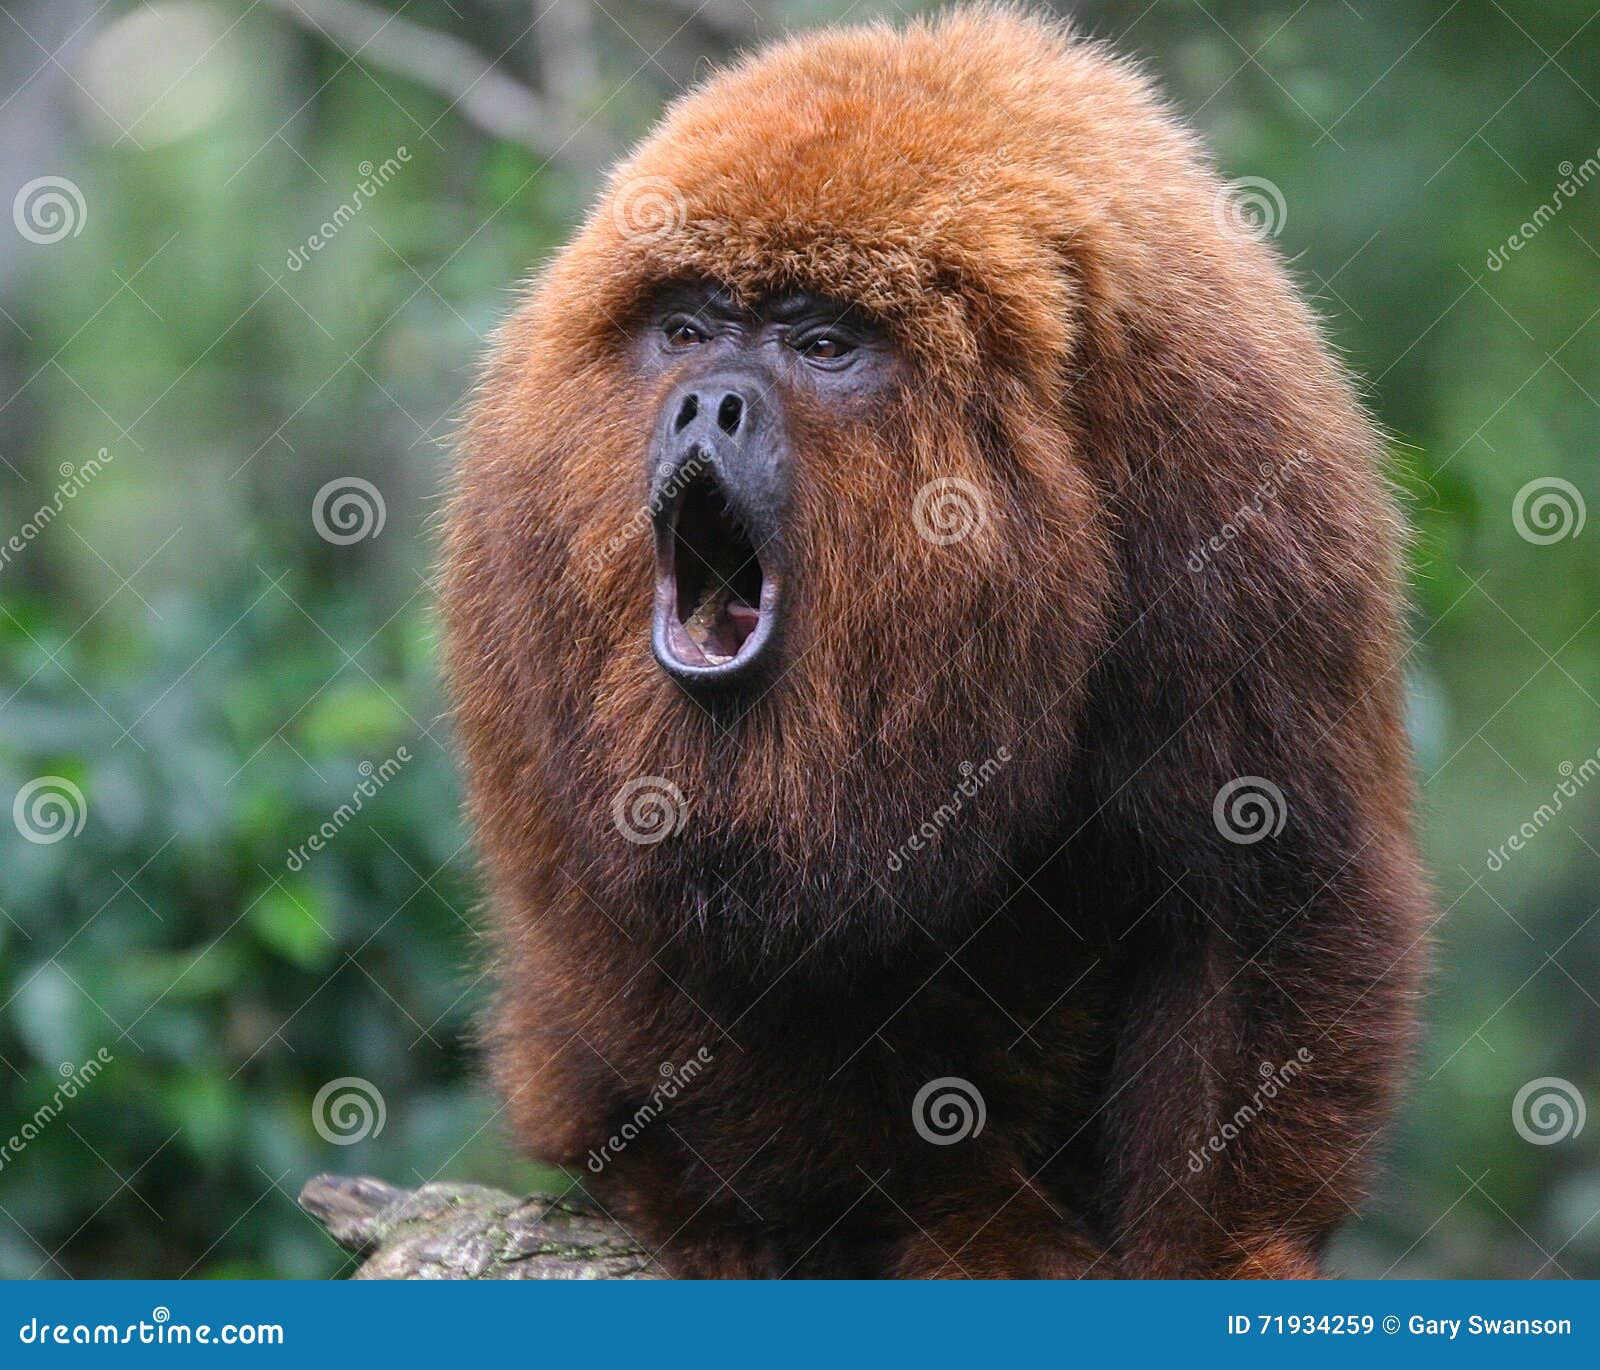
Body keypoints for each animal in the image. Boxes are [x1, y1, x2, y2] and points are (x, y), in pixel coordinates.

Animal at [442, 6, 1429, 1279]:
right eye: (687, 330)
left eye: (823, 345)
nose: (705, 399)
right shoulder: (507, 528)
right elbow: (645, 939)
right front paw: (967, 1217)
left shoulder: (1228, 467)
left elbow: (1261, 887)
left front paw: (1217, 1253)